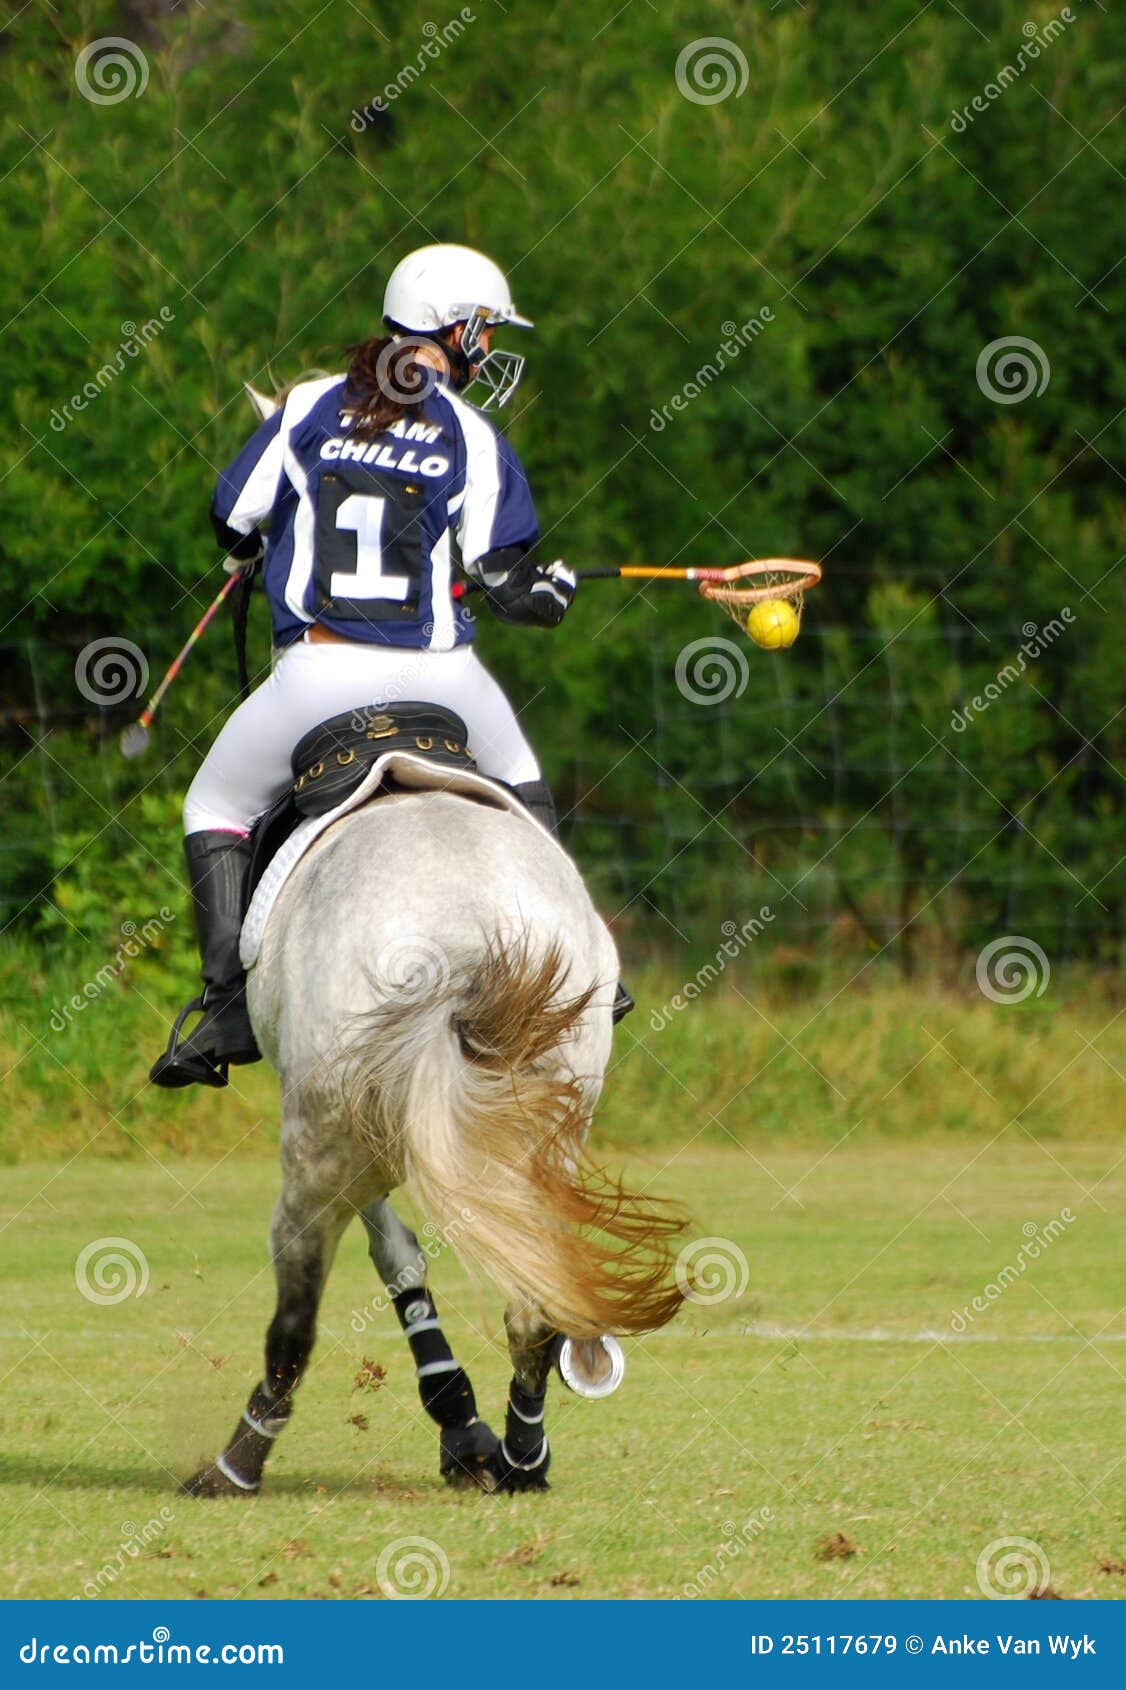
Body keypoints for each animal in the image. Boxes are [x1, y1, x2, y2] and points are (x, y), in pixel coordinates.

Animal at [185, 774, 684, 1496]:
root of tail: (469, 929)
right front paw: (466, 1431)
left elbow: (394, 1255)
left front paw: (457, 1421)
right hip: (539, 1132)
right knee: (531, 1303)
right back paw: (522, 1460)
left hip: (326, 1146)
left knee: (294, 1322)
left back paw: (236, 1465)